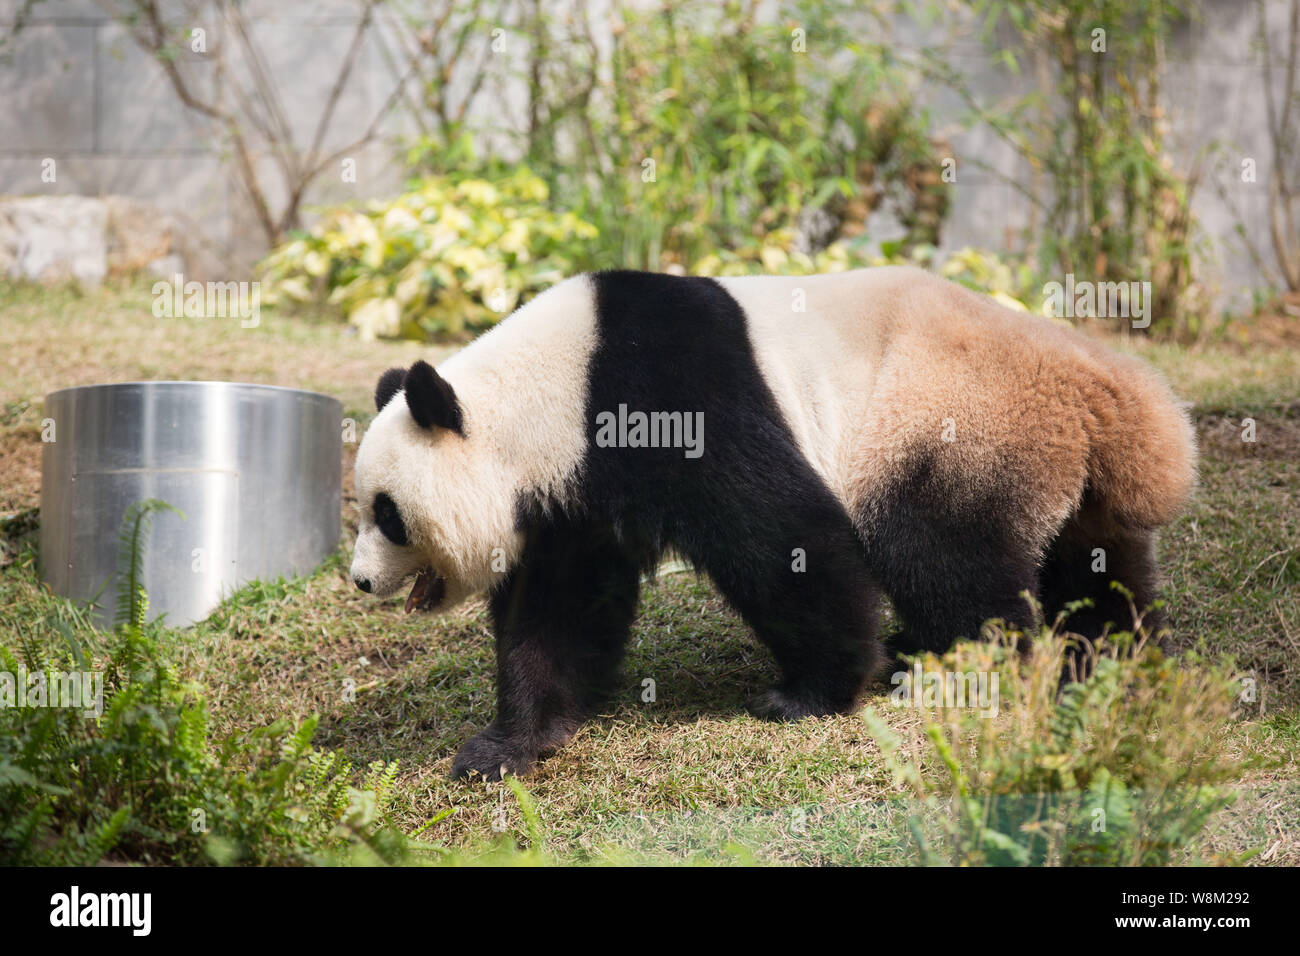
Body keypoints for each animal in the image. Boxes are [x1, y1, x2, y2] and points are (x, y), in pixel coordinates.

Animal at [349, 267, 1196, 780]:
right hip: (1058, 468)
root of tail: (1099, 382)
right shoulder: (570, 495)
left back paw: (963, 668)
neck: (550, 390)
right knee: (1095, 566)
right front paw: (506, 746)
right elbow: (558, 610)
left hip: (949, 418)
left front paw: (811, 692)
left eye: (387, 514)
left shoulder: (666, 397)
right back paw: (1112, 659)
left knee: (940, 551)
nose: (358, 581)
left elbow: (780, 534)